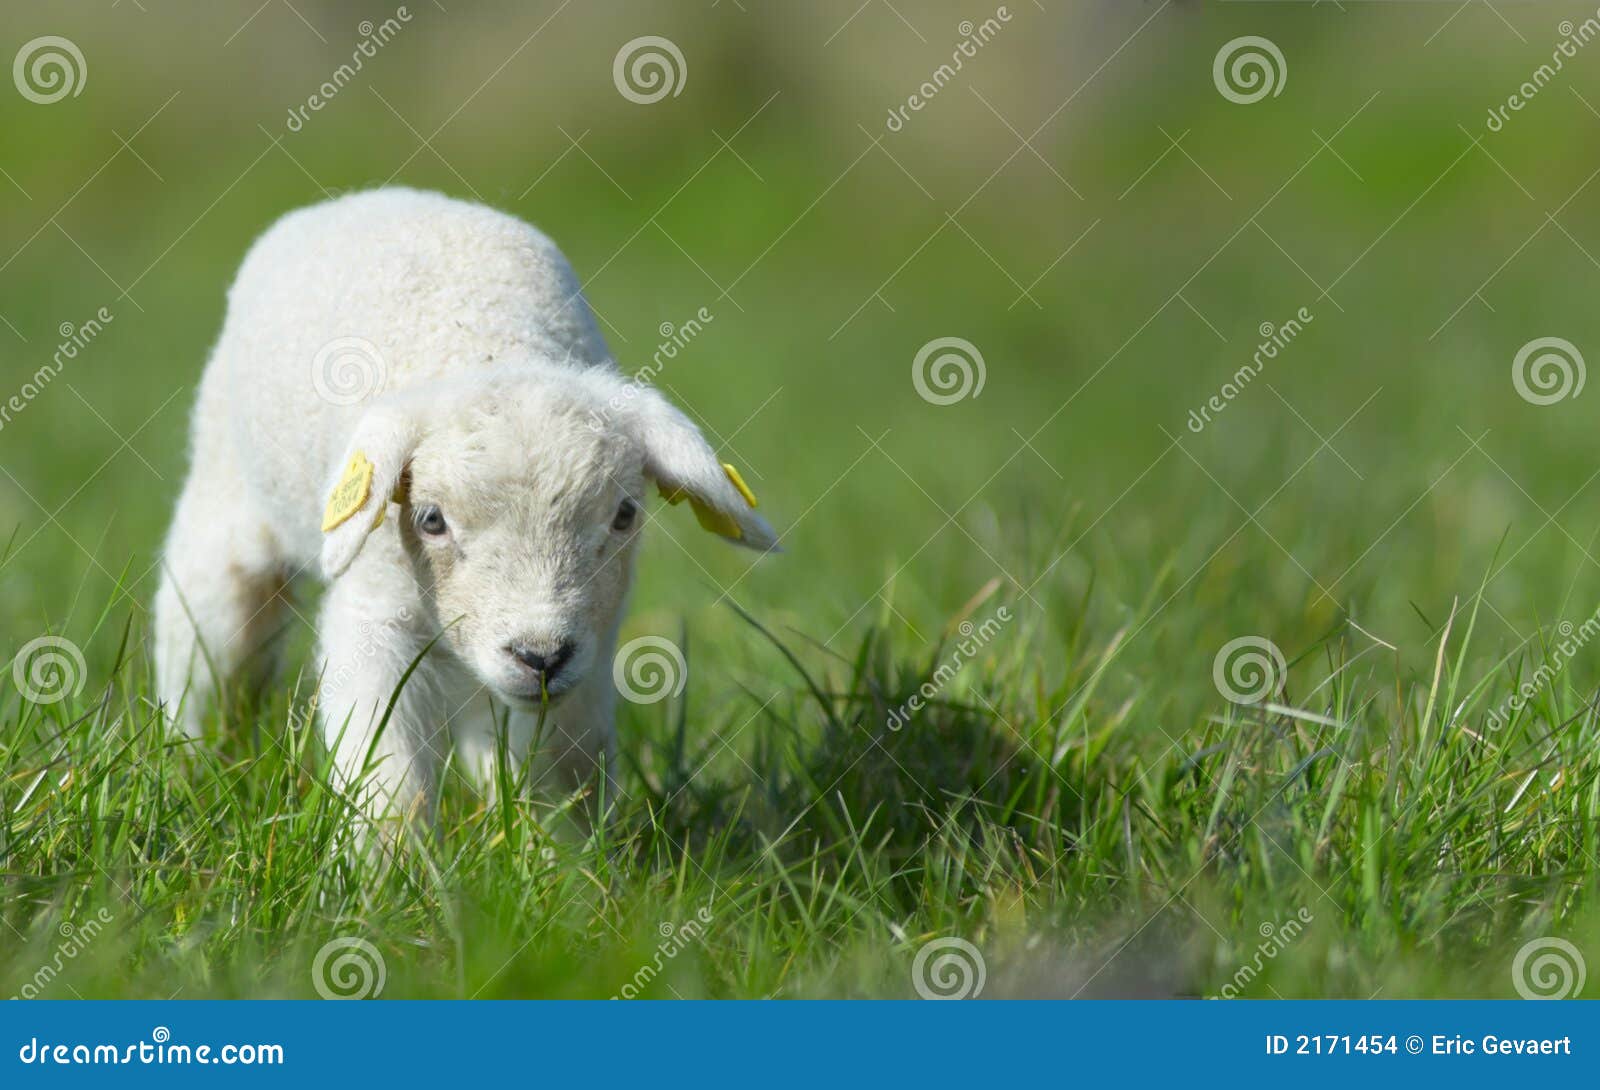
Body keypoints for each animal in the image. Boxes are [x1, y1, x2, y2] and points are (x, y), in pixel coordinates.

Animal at [153, 187, 776, 832]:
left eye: (624, 515)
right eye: (431, 519)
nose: (540, 656)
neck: (489, 345)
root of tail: (372, 194)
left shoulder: (594, 639)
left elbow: (561, 770)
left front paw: (562, 851)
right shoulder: (375, 611)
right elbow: (390, 783)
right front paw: (387, 859)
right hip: (222, 500)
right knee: (205, 648)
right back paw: (187, 769)